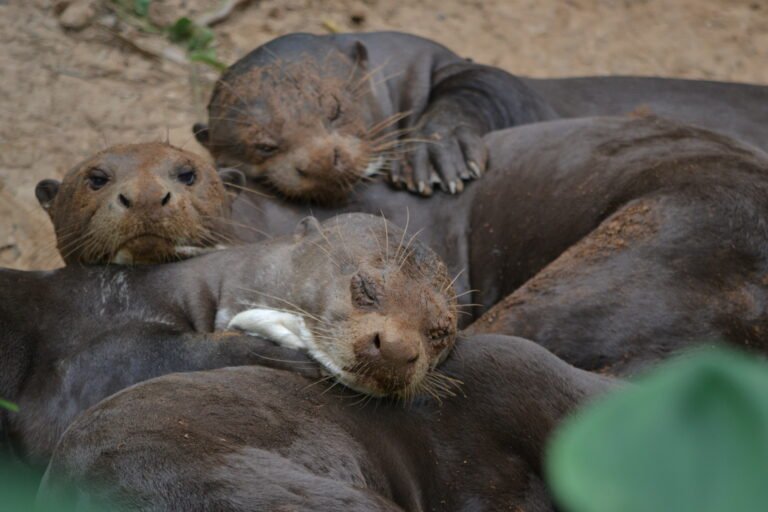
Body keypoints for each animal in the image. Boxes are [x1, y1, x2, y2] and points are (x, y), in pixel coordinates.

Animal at [194, 31, 768, 200]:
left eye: (334, 108)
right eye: (264, 144)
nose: (322, 159)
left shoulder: (473, 73)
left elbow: (485, 88)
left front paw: (435, 153)